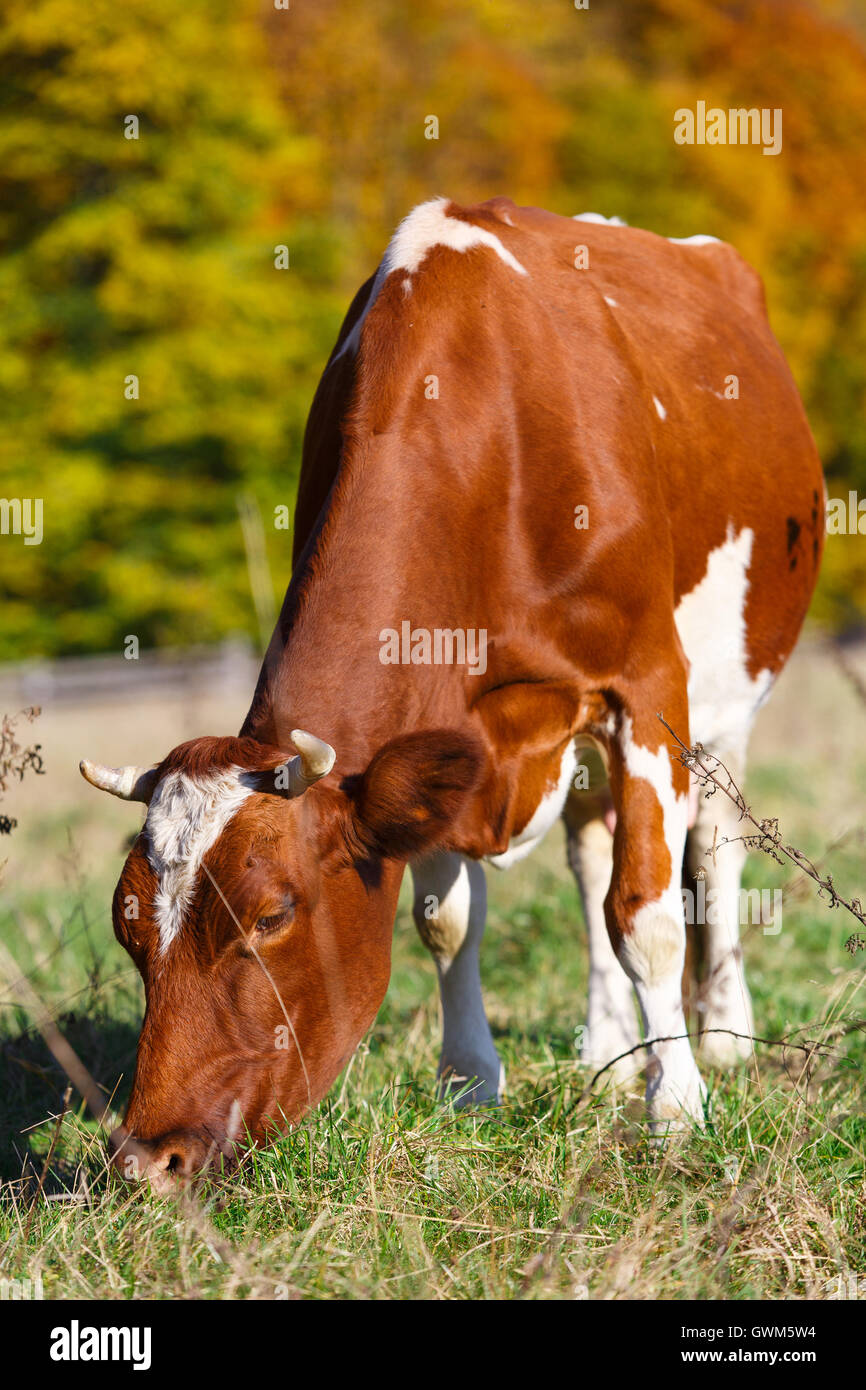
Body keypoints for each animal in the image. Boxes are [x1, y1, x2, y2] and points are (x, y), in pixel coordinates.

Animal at [80, 197, 824, 1187]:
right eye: (127, 929)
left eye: (272, 916)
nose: (144, 1159)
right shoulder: (436, 725)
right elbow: (449, 922)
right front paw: (470, 1084)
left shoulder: (646, 686)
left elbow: (648, 914)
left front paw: (677, 1107)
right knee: (590, 852)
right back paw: (604, 1046)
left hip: (729, 693)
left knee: (715, 845)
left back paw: (724, 1035)